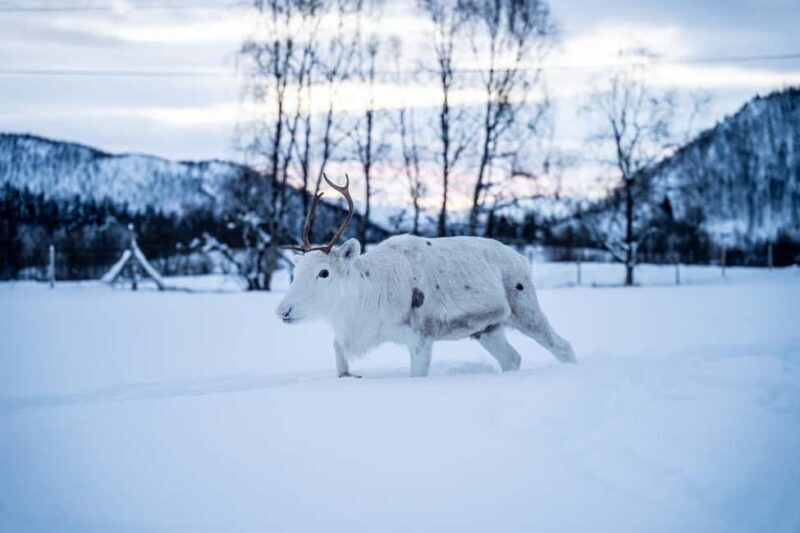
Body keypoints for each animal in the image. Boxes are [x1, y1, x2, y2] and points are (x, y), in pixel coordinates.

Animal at [276, 174, 577, 378]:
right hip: (487, 329)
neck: (363, 306)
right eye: (296, 271)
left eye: (324, 272)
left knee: (563, 345)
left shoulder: (422, 336)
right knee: (512, 358)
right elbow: (340, 358)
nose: (283, 310)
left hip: (525, 308)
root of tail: (523, 259)